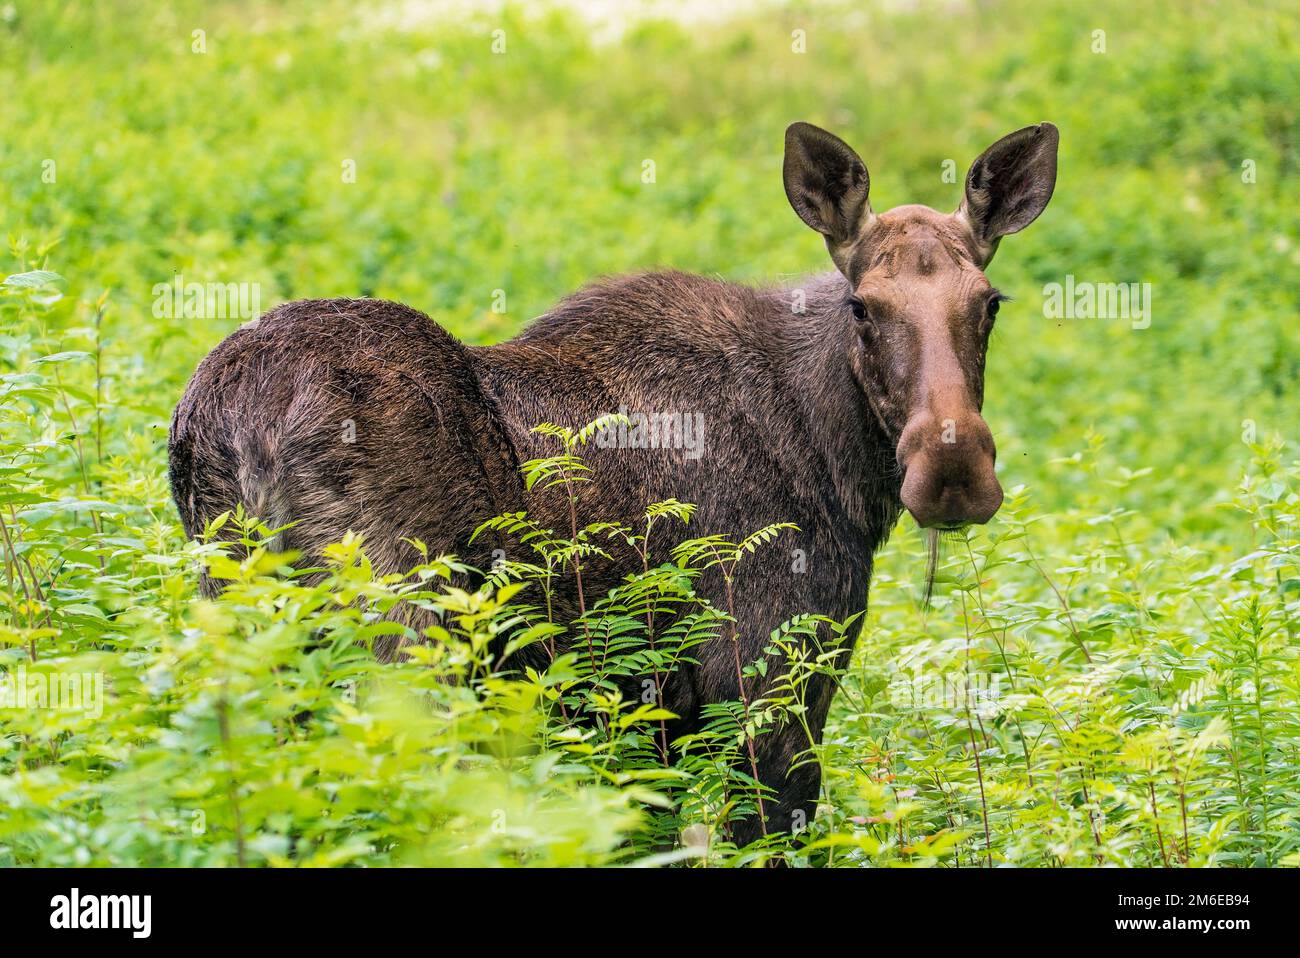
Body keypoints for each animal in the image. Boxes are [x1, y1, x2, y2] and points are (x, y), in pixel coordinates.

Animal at [169, 121, 1059, 845]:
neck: (840, 464)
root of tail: (238, 426)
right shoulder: (769, 682)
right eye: (864, 307)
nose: (953, 471)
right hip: (403, 636)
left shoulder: (648, 715)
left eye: (989, 303)